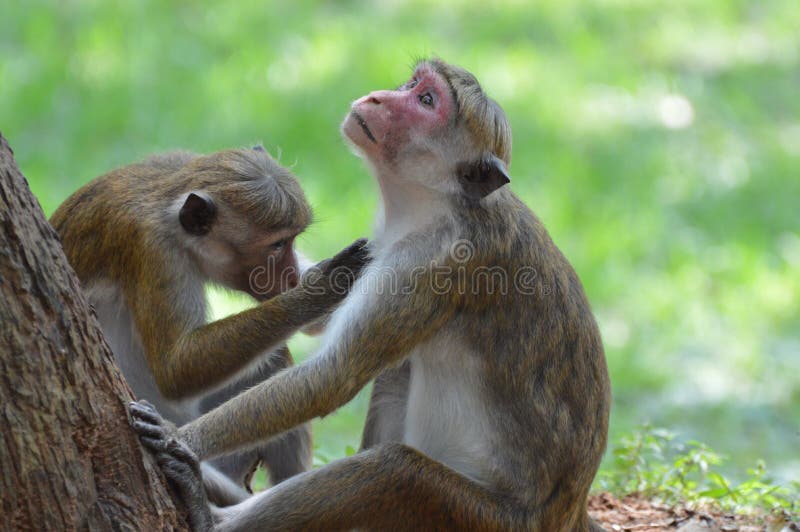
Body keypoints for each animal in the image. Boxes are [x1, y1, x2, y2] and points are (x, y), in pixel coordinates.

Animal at [51, 146, 370, 505]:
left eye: (293, 240)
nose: (290, 277)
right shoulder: (152, 249)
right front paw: (317, 291)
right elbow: (176, 370)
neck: (169, 213)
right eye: (277, 245)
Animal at [130, 59, 611, 531]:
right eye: (412, 83)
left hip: (480, 517)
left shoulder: (427, 265)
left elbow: (331, 378)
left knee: (393, 471)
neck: (436, 204)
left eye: (426, 100)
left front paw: (180, 438)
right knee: (396, 374)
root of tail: (569, 514)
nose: (380, 96)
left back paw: (205, 514)